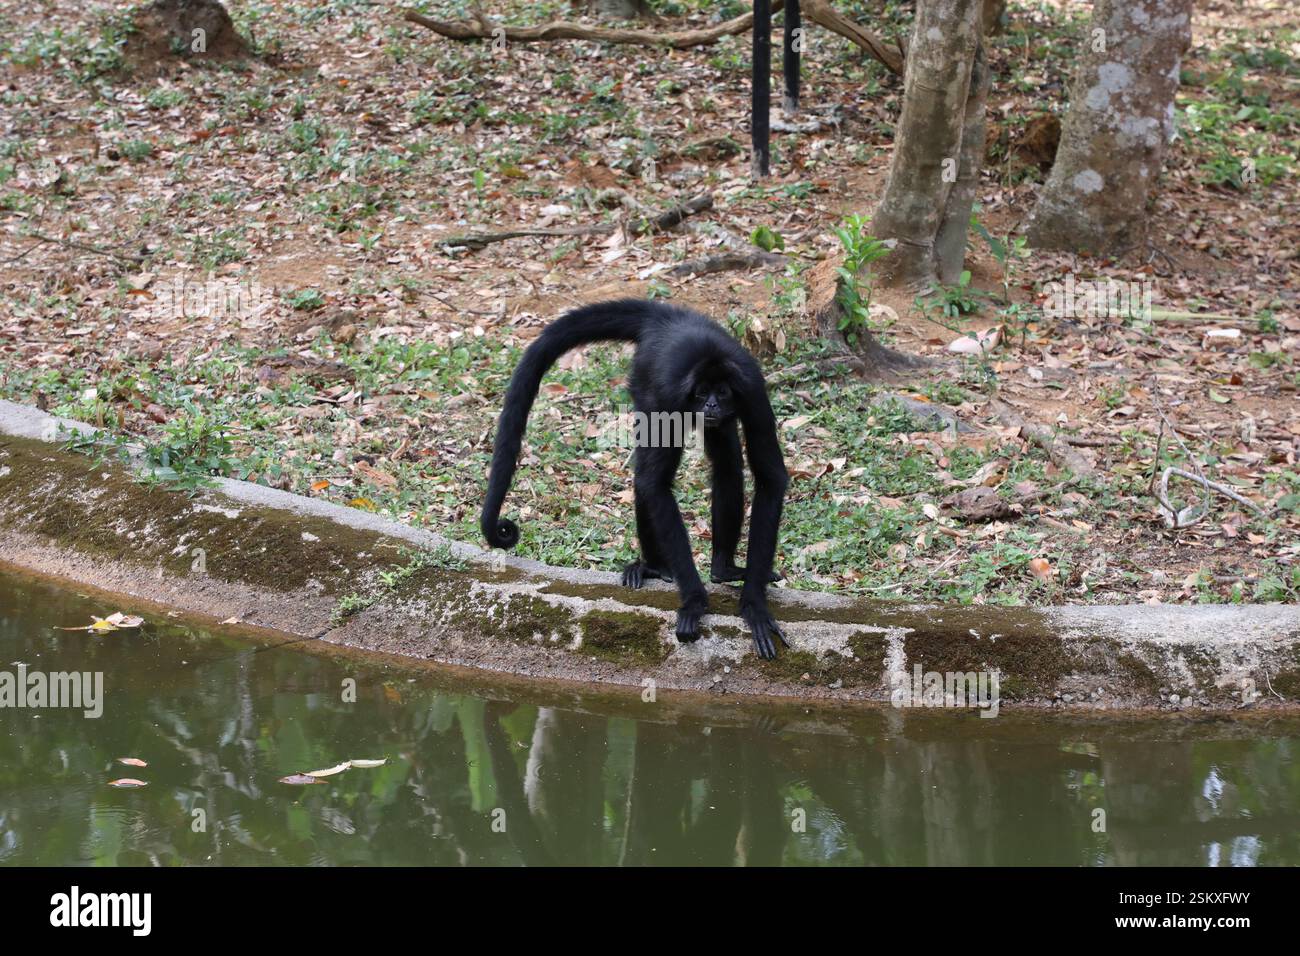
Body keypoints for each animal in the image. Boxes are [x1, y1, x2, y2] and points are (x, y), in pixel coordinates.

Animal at [480, 299, 790, 659]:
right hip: (643, 379)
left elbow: (770, 478)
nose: (712, 405)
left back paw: (722, 568)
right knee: (648, 474)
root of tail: (666, 316)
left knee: (726, 465)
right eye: (702, 393)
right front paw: (694, 601)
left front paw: (754, 605)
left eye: (723, 392)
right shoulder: (670, 396)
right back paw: (655, 567)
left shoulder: (752, 393)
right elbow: (655, 482)